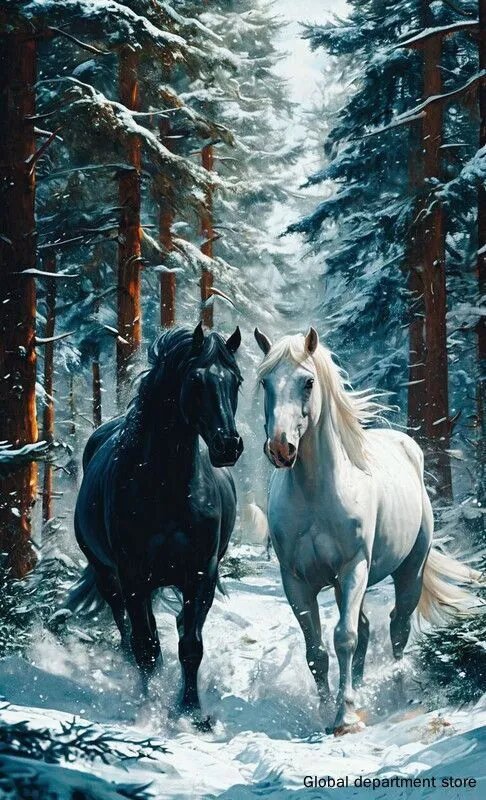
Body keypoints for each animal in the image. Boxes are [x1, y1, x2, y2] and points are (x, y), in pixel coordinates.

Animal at [69, 323, 243, 727]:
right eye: (195, 380)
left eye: (237, 381)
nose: (228, 445)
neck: (167, 490)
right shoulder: (133, 576)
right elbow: (146, 646)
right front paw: (149, 709)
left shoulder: (200, 574)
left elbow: (191, 645)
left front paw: (191, 711)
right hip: (109, 576)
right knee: (127, 630)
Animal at [254, 326, 480, 735]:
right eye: (265, 381)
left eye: (308, 382)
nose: (280, 448)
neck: (317, 493)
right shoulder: (296, 581)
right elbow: (317, 650)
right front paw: (326, 710)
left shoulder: (353, 568)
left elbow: (344, 638)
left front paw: (344, 718)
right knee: (365, 631)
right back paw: (359, 692)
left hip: (409, 572)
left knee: (396, 628)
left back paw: (396, 693)